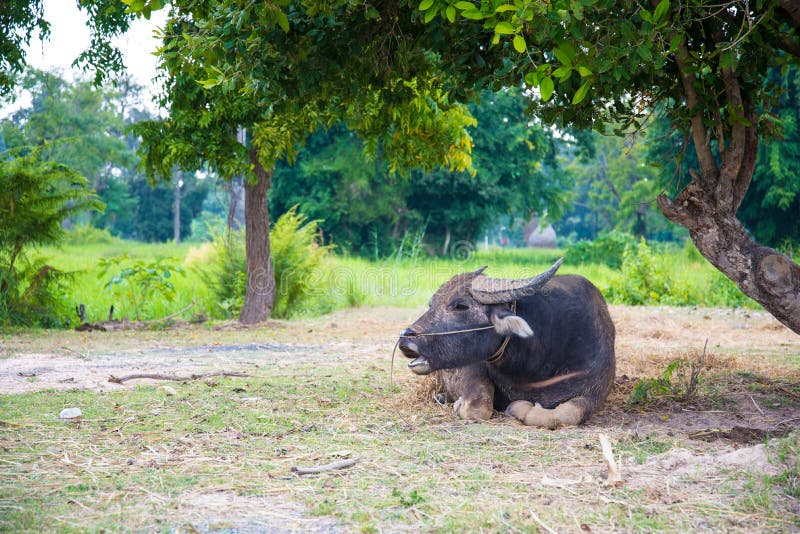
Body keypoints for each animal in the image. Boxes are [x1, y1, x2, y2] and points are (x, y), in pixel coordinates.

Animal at [398, 259, 615, 428]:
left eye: (461, 305)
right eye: (431, 304)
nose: (405, 338)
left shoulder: (597, 390)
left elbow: (568, 414)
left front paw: (520, 408)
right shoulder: (470, 366)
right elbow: (478, 407)